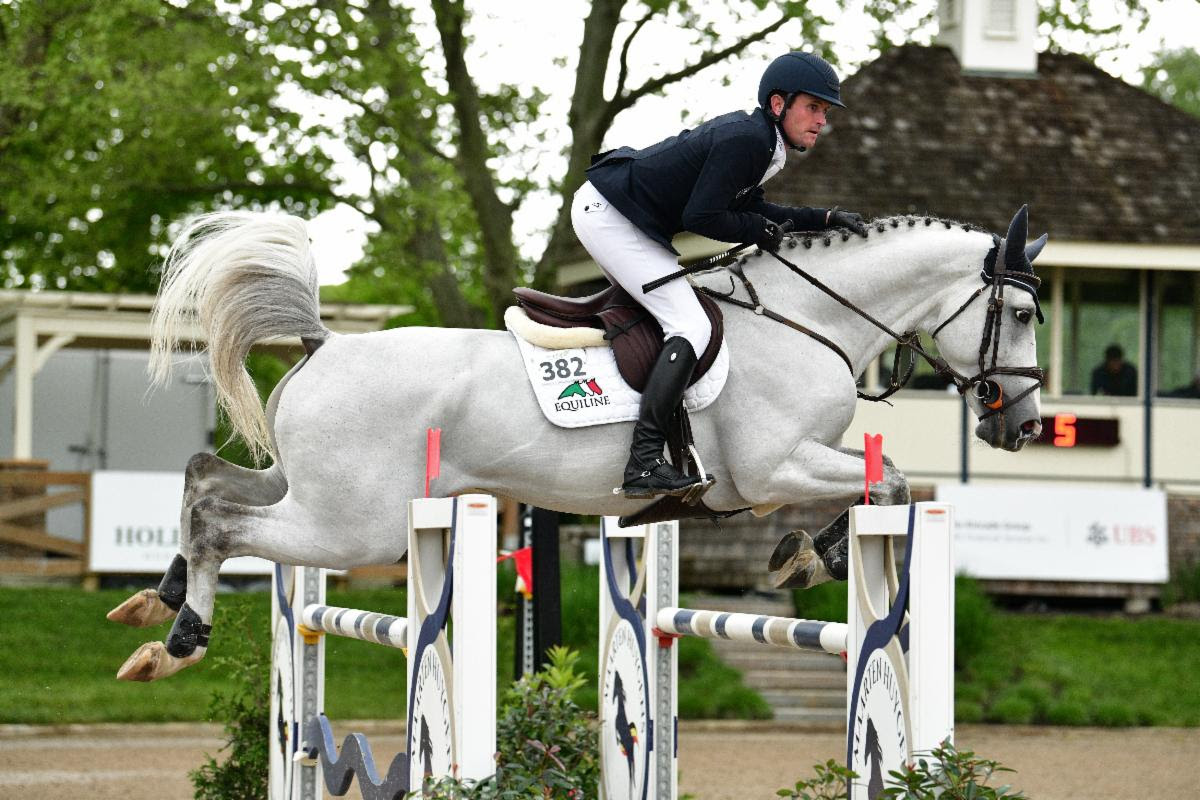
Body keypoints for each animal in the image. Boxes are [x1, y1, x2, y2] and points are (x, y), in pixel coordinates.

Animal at [107, 206, 1046, 681]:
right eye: (1026, 312)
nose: (1022, 424)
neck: (806, 318)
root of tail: (325, 346)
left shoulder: (777, 474)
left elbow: (891, 487)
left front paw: (805, 555)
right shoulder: (769, 469)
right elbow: (896, 485)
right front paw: (806, 558)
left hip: (313, 493)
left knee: (207, 481)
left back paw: (155, 604)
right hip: (352, 525)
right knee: (226, 524)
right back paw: (183, 637)